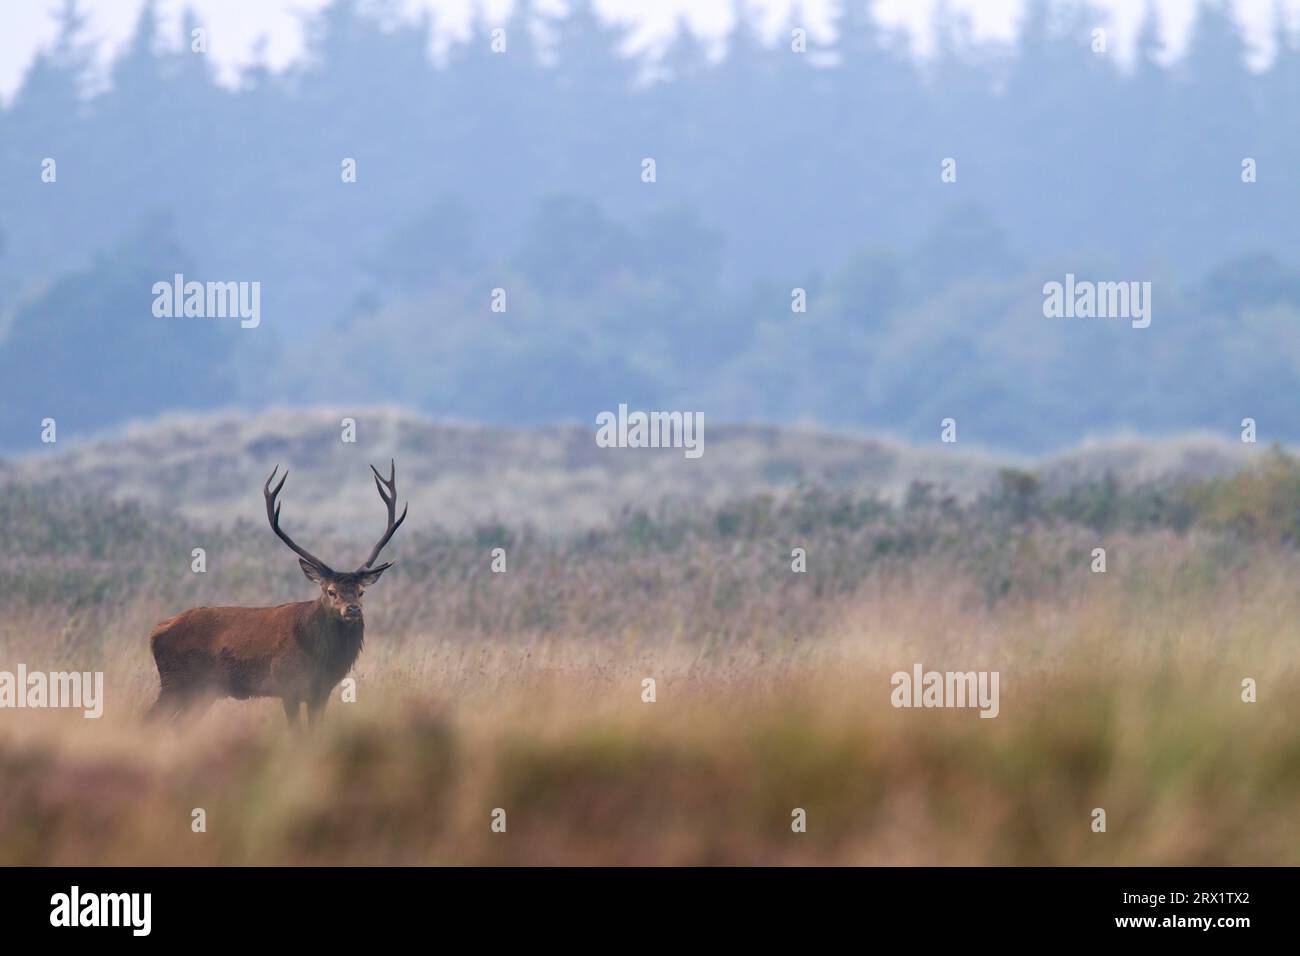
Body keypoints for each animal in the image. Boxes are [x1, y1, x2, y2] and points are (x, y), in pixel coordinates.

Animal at [148, 461, 407, 725]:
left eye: (361, 591)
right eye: (330, 591)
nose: (352, 609)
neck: (321, 658)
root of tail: (156, 632)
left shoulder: (322, 692)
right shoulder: (288, 685)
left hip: (202, 692)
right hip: (176, 682)